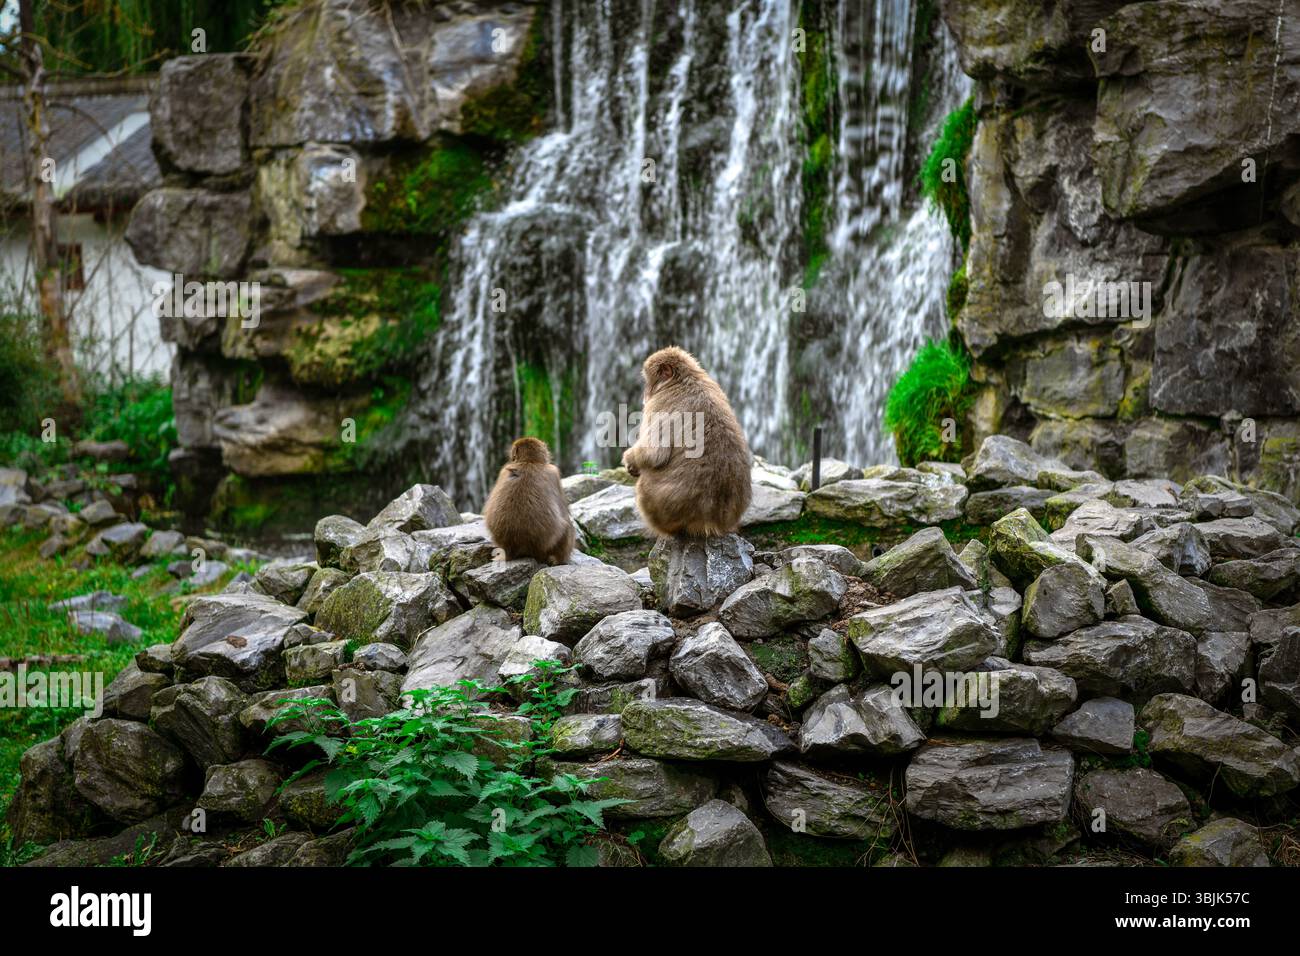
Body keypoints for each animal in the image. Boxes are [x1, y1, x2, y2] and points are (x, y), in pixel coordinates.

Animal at [622, 346, 752, 537]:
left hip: (661, 507)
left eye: (647, 381)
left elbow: (654, 454)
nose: (644, 395)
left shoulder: (658, 404)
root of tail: (710, 521)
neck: (684, 379)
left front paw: (630, 461)